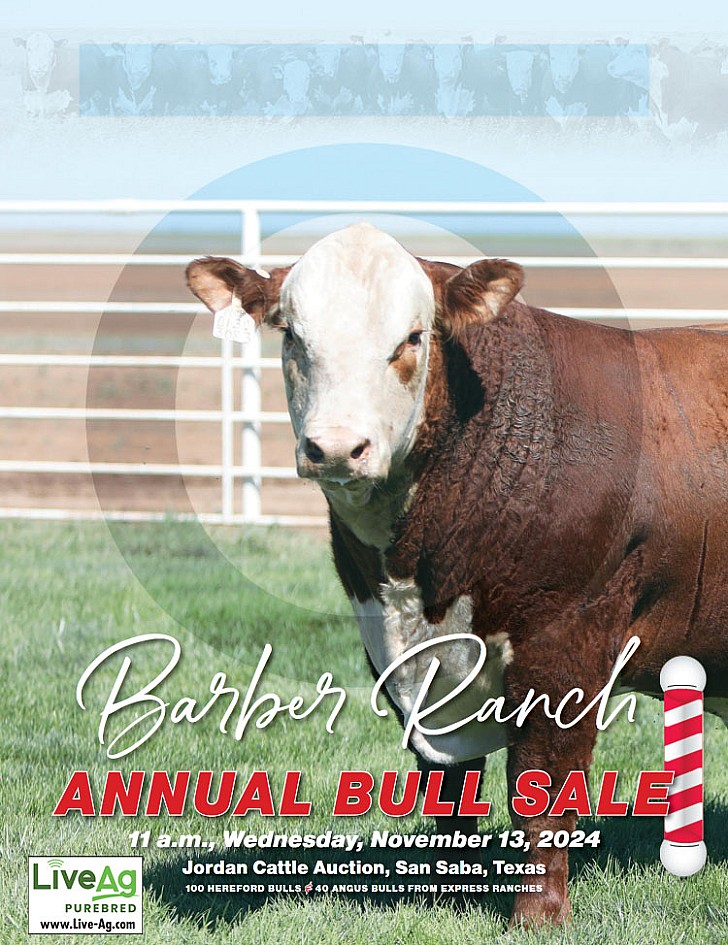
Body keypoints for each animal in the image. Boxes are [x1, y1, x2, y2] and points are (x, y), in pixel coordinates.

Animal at [186, 223, 728, 927]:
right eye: (293, 338)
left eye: (413, 338)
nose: (336, 448)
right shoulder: (398, 654)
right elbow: (449, 790)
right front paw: (448, 894)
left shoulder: (565, 644)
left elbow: (543, 781)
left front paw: (539, 915)